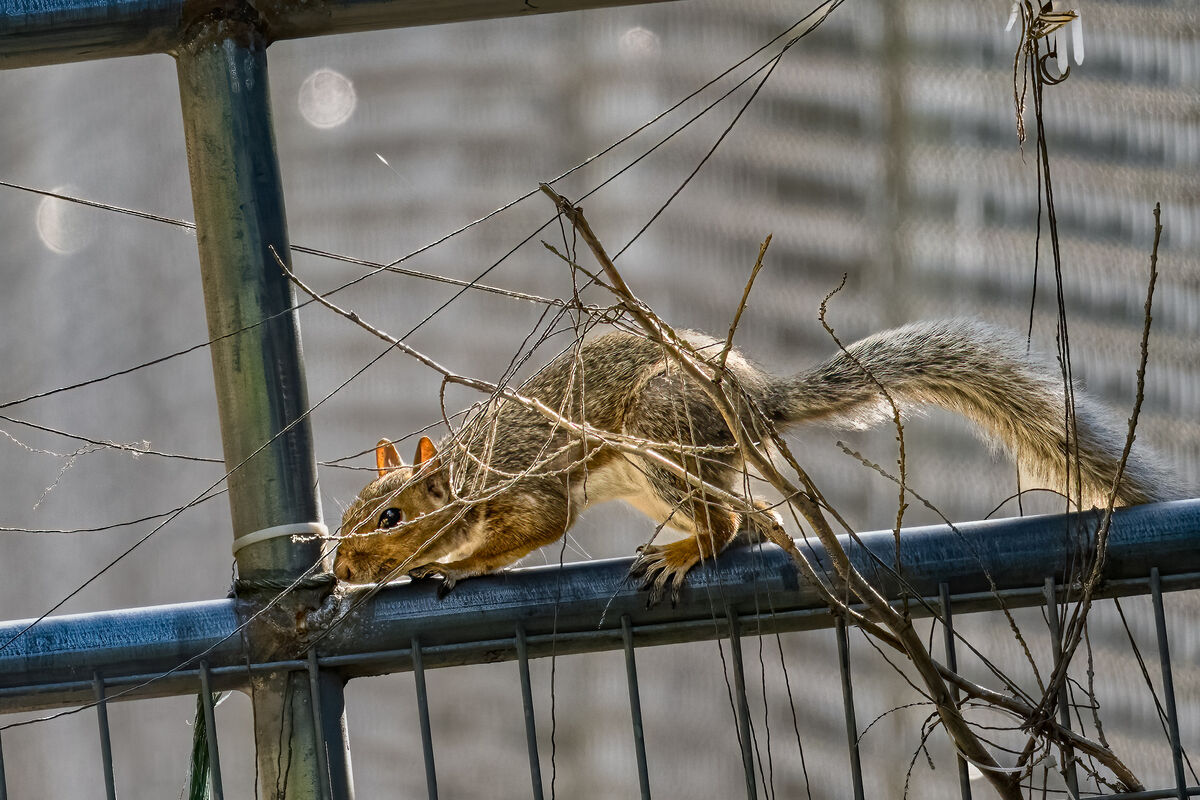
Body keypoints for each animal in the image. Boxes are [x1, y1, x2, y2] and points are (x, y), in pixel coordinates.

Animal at [333, 319, 1180, 604]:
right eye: (345, 515)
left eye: (391, 516)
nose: (339, 570)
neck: (469, 475)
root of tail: (750, 400)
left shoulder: (533, 494)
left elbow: (534, 528)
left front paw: (453, 564)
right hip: (660, 478)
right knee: (748, 519)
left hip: (661, 439)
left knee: (733, 522)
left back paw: (686, 552)